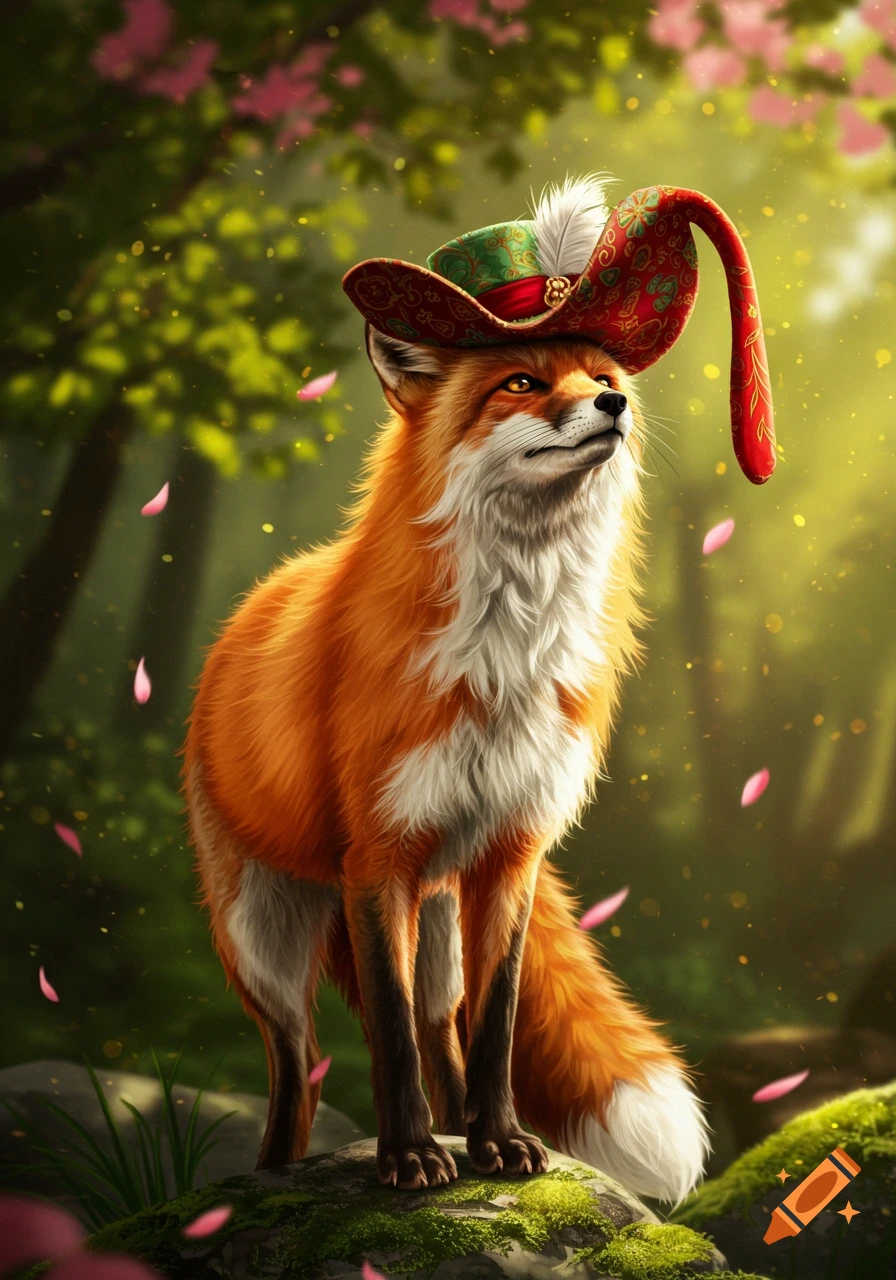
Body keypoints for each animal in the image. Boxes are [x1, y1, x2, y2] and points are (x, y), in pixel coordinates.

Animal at [182, 178, 716, 1201]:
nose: (614, 403)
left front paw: (497, 1142)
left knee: (442, 1029)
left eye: (599, 371)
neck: (507, 654)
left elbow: (494, 1024)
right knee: (297, 1064)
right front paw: (407, 1159)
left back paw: (472, 1135)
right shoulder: (378, 860)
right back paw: (275, 1172)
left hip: (437, 919)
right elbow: (386, 1036)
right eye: (520, 383)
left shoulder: (510, 852)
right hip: (264, 939)